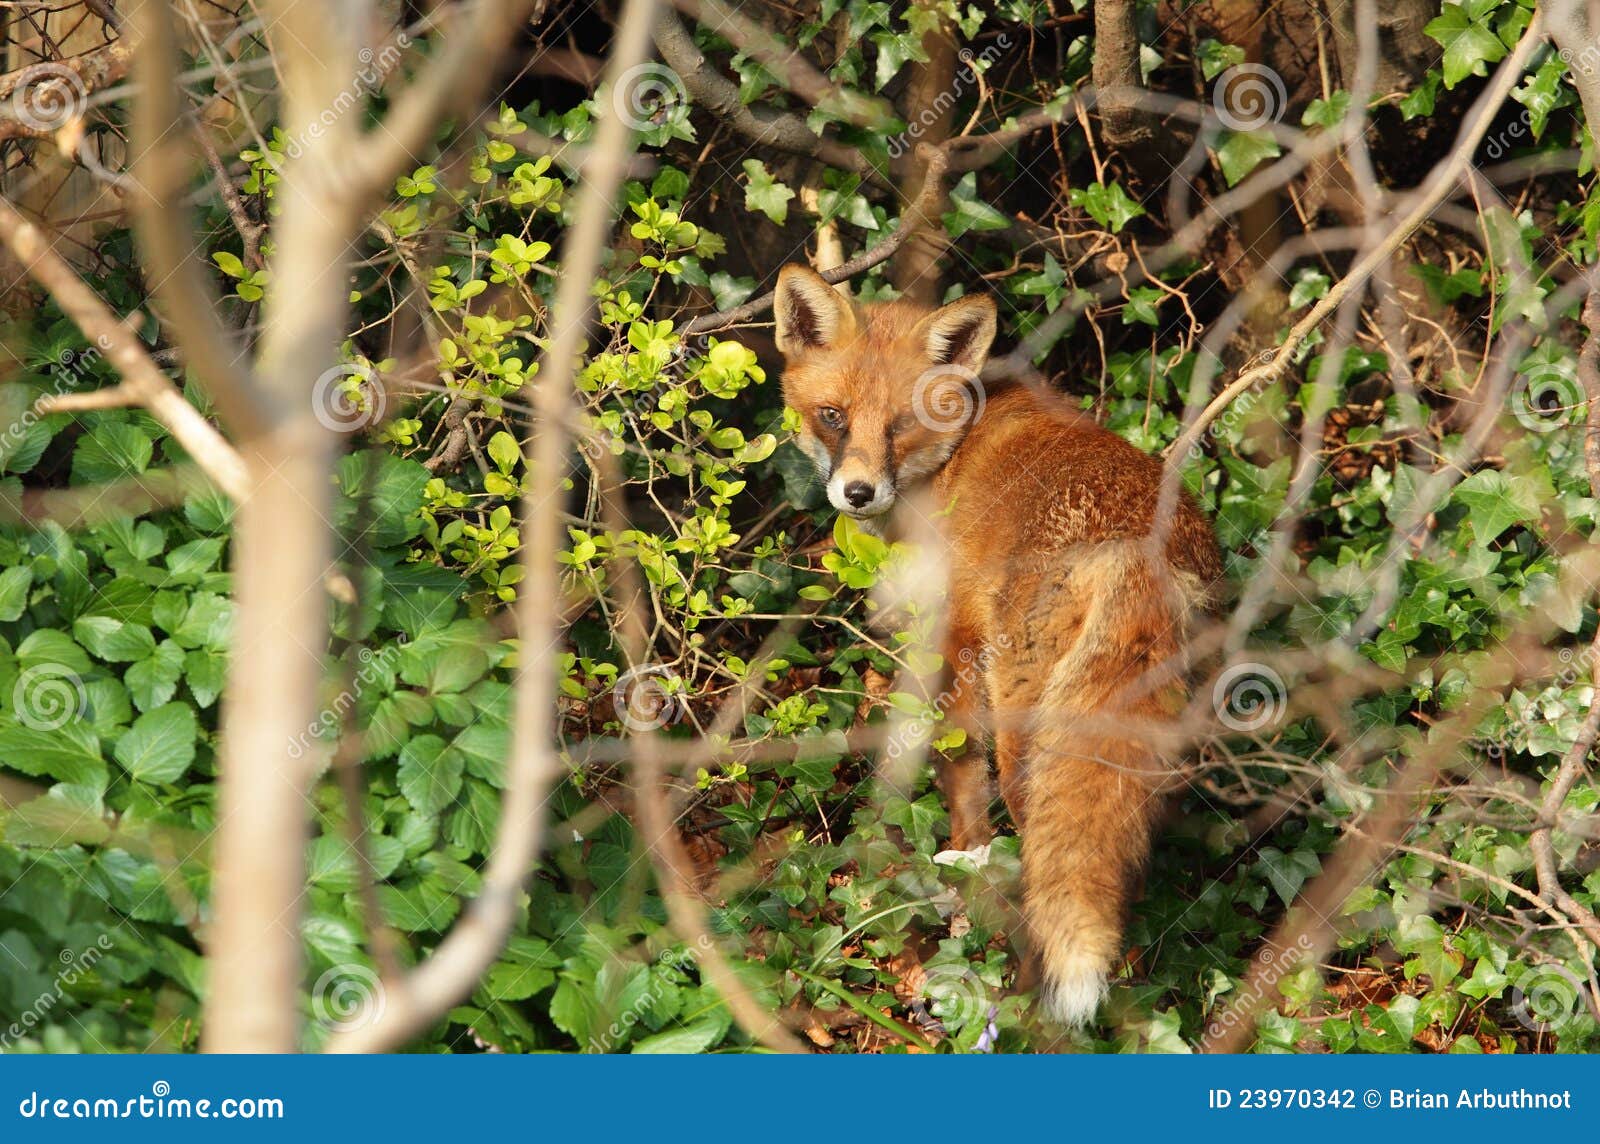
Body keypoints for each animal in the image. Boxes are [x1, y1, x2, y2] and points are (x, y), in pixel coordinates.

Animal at [772, 263, 1223, 1028]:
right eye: (833, 416)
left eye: (901, 425)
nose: (857, 492)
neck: (951, 458)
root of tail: (1137, 553)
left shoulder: (955, 642)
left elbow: (959, 784)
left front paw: (962, 869)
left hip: (1026, 730)